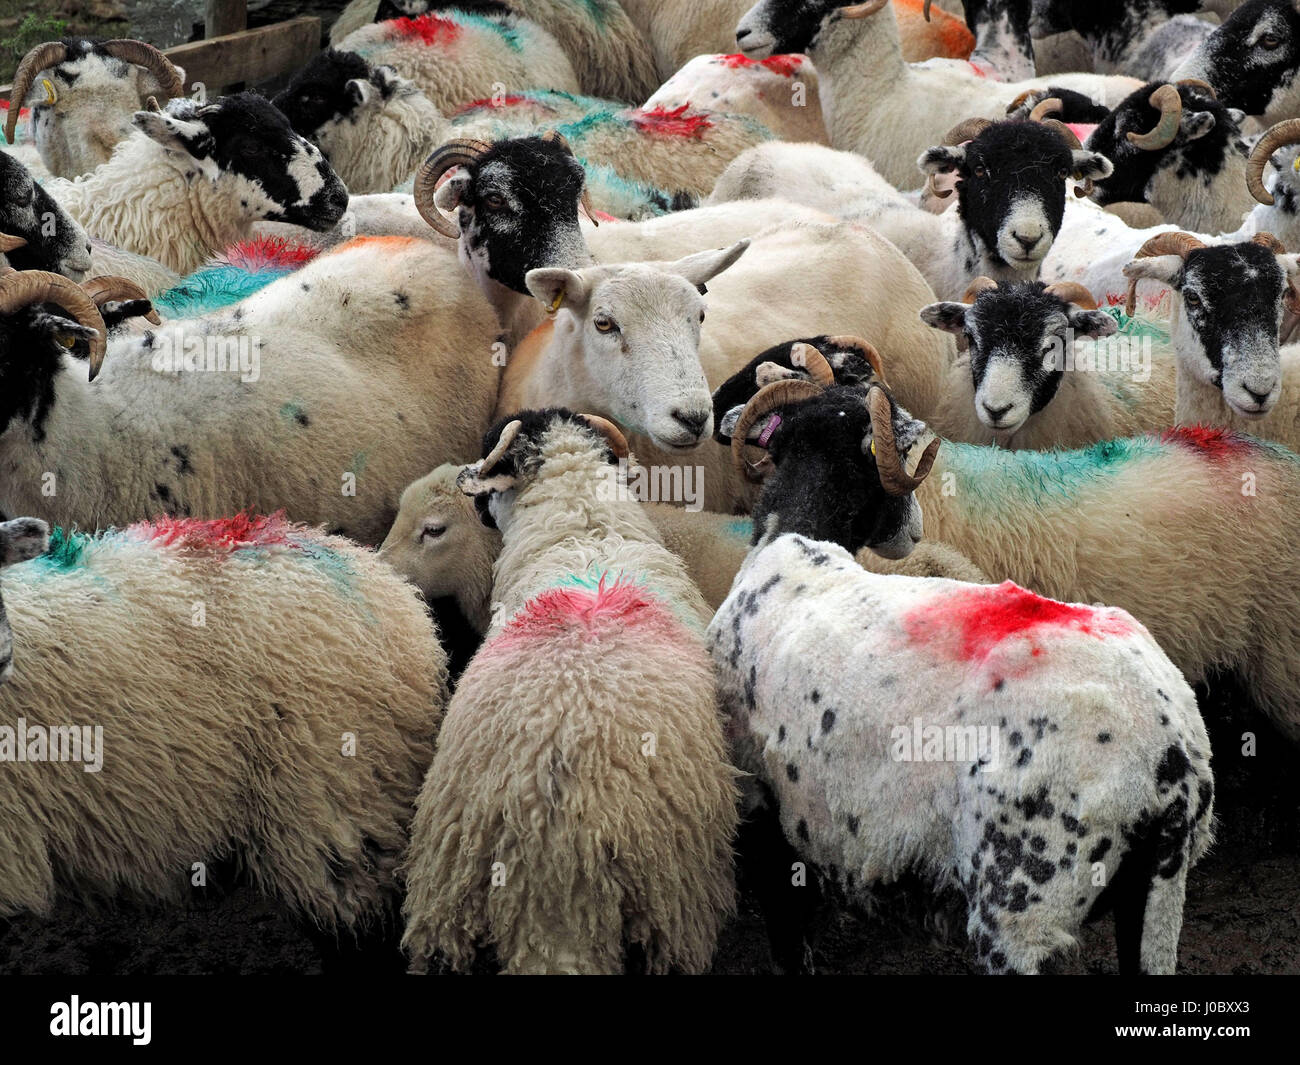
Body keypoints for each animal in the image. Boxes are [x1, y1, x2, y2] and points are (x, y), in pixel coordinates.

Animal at [706, 368, 1214, 973]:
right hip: (1159, 888)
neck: (795, 540)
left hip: (1021, 897)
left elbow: (790, 942)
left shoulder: (766, 815)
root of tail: (1172, 757)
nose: (917, 530)